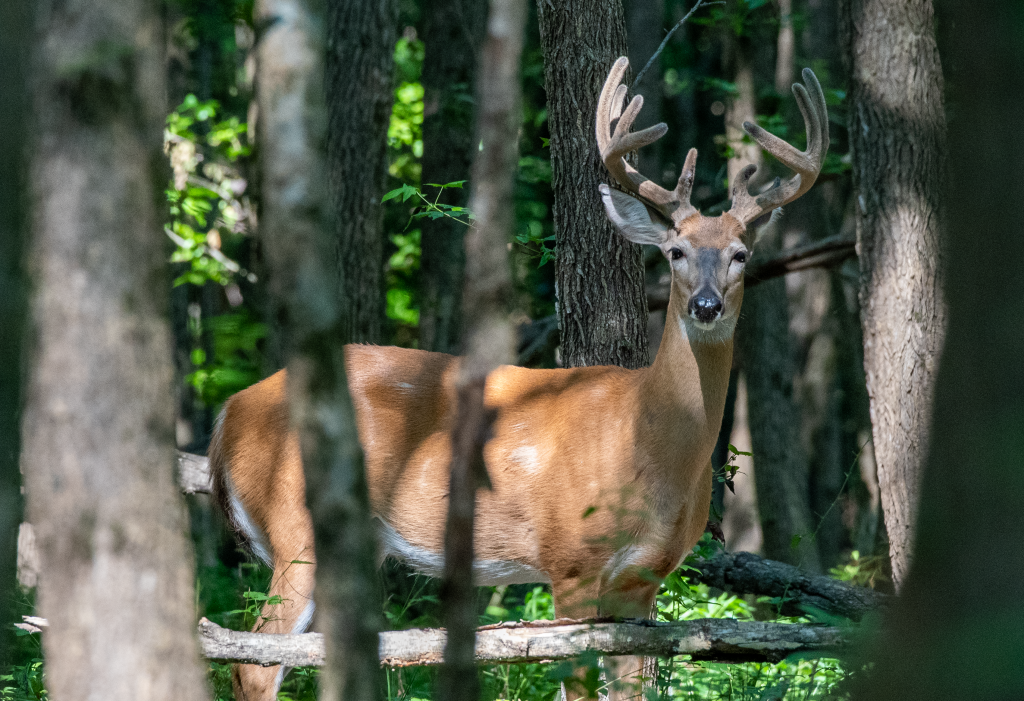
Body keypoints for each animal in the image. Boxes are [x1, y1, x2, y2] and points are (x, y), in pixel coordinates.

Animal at [209, 56, 829, 701]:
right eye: (676, 252)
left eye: (739, 254)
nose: (706, 305)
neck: (647, 444)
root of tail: (228, 413)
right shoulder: (570, 560)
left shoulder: (640, 581)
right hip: (293, 522)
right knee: (255, 661)